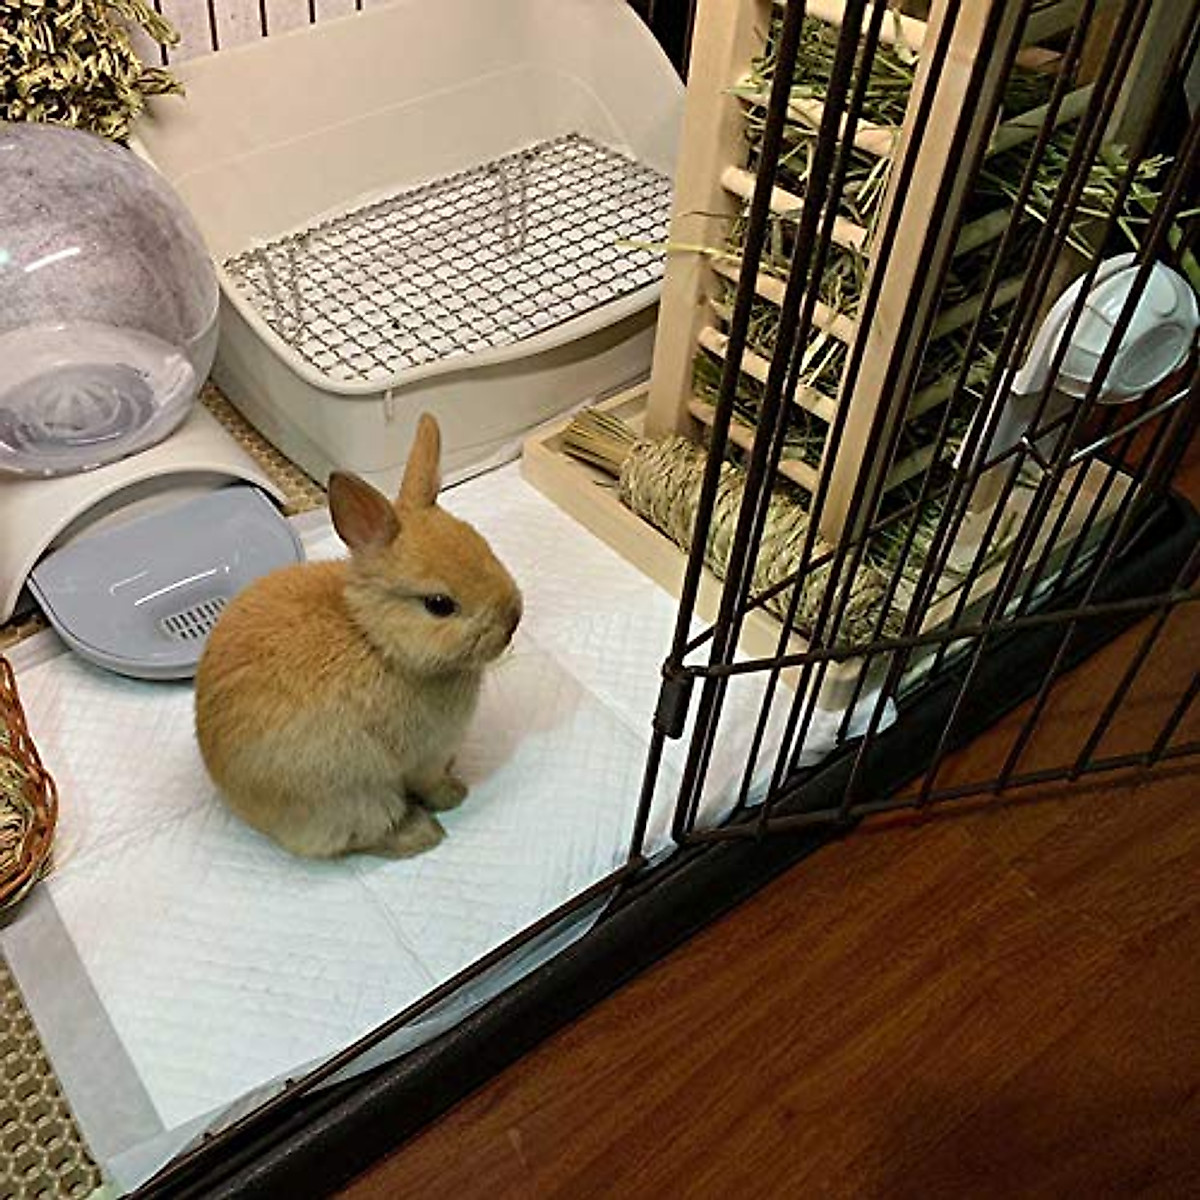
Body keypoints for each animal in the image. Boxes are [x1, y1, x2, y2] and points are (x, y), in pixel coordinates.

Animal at [194, 413, 522, 860]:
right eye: (439, 604)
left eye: (483, 545)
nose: (513, 620)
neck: (375, 640)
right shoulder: (425, 756)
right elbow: (430, 781)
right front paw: (456, 794)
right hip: (356, 799)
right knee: (364, 838)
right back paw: (423, 833)